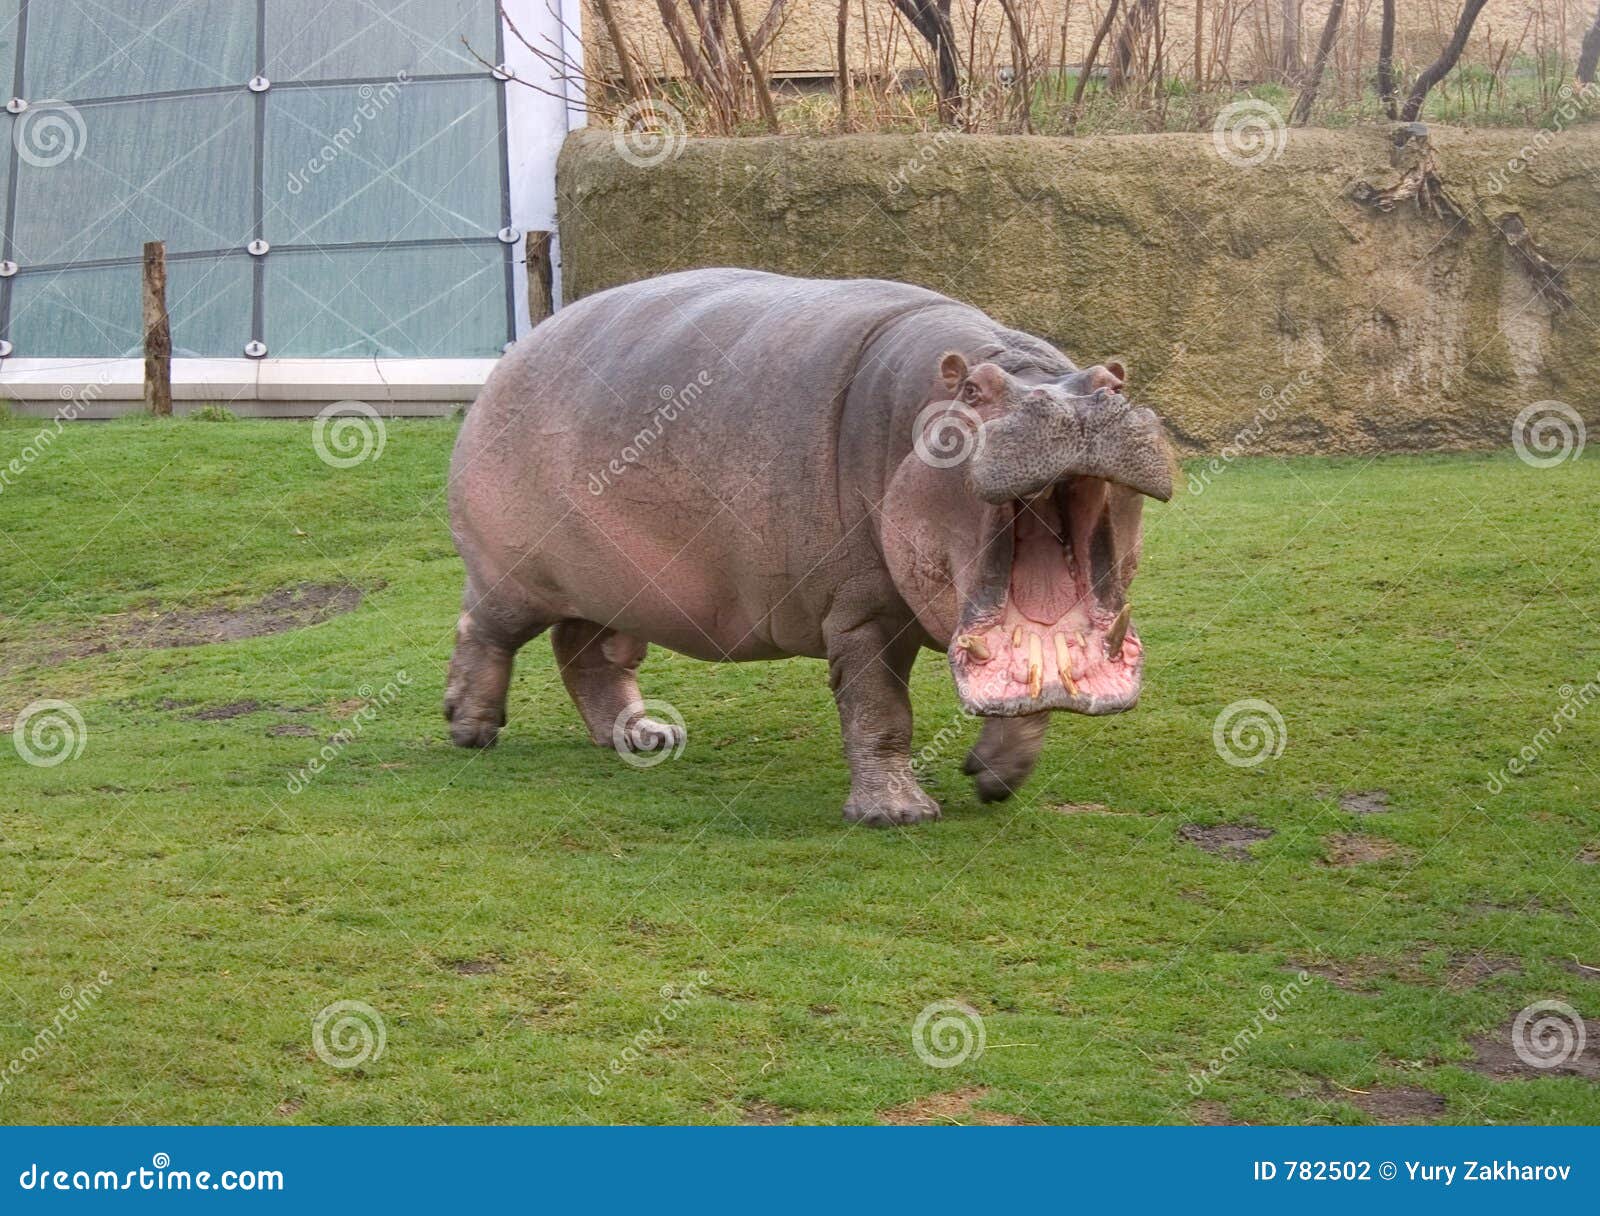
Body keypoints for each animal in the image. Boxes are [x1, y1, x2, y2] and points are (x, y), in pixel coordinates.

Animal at [445, 269, 1172, 825]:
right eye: (974, 391)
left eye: (1113, 380)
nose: (1074, 404)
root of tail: (518, 350)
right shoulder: (862, 612)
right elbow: (881, 711)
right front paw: (896, 813)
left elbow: (1033, 696)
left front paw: (992, 778)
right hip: (513, 576)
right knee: (483, 631)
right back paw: (470, 729)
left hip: (612, 588)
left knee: (588, 654)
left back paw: (644, 738)